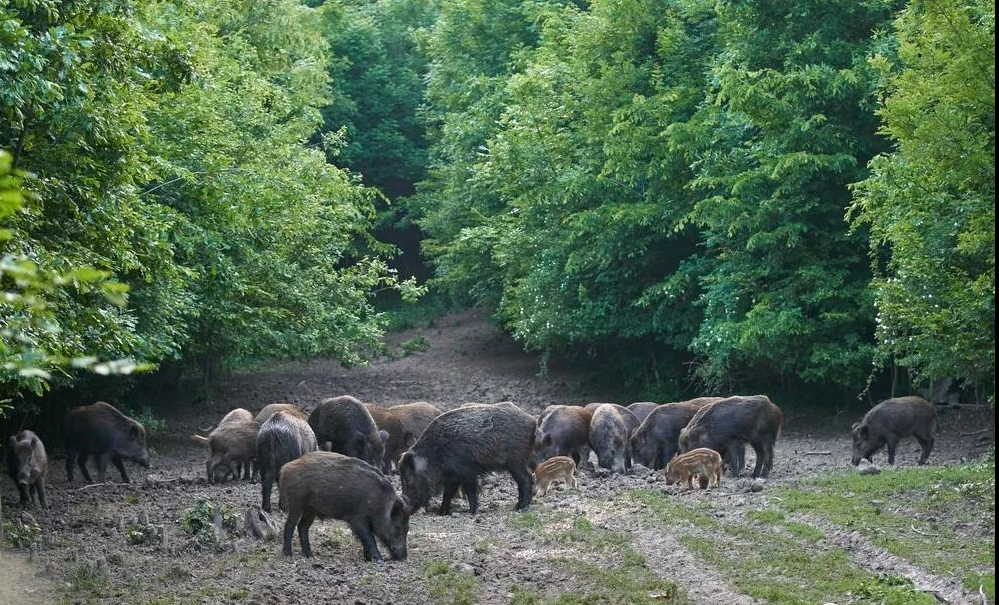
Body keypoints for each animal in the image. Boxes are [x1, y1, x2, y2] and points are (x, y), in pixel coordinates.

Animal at [279, 451, 410, 561]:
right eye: (398, 527)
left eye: (407, 528)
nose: (403, 557)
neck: (380, 505)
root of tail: (285, 468)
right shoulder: (356, 518)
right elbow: (369, 538)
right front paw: (379, 560)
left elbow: (365, 539)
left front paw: (368, 559)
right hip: (296, 503)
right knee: (290, 525)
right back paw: (288, 554)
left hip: (311, 509)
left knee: (302, 526)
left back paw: (310, 555)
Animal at [399, 402, 536, 515]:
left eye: (408, 479)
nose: (406, 508)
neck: (436, 455)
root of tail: (532, 421)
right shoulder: (452, 476)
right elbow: (448, 493)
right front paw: (441, 512)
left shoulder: (467, 471)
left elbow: (470, 490)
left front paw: (472, 512)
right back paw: (518, 506)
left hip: (516, 460)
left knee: (526, 479)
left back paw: (520, 507)